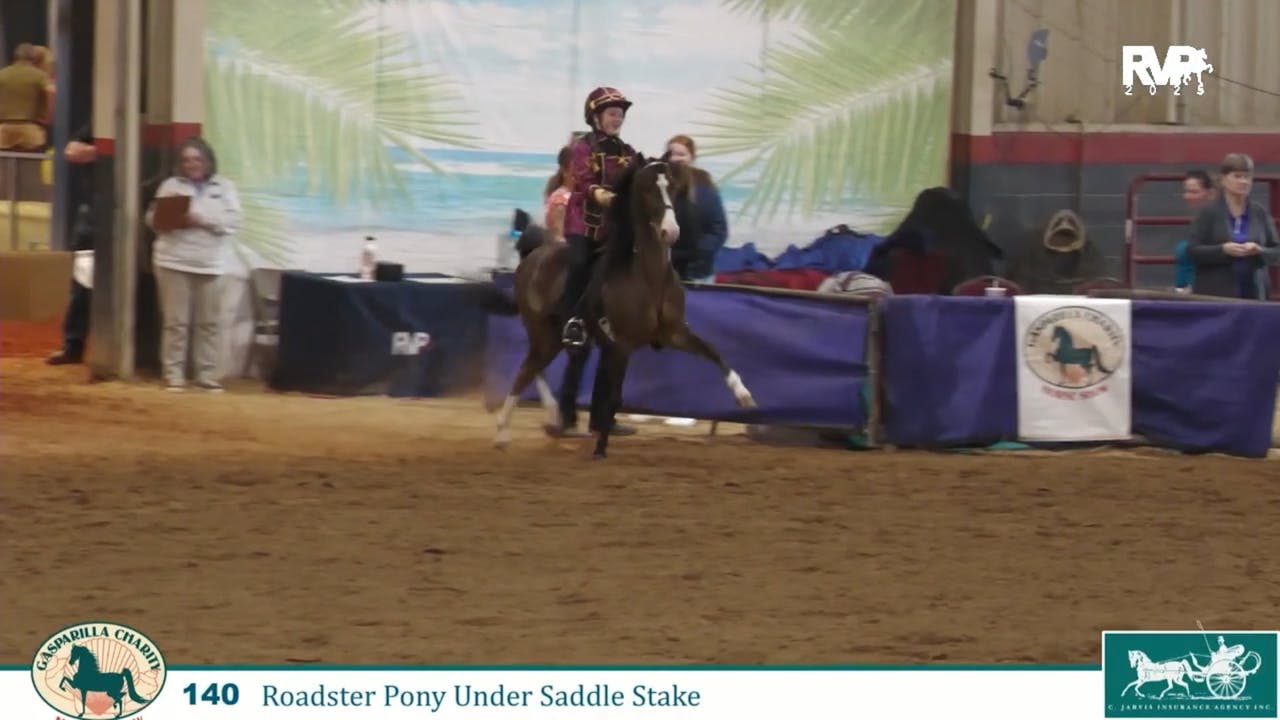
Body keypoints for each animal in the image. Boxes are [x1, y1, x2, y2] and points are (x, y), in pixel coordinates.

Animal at [484, 157, 755, 456]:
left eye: (672, 186)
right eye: (647, 189)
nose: (671, 231)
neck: (648, 277)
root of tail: (532, 256)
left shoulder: (674, 334)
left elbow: (713, 352)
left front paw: (744, 396)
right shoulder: (623, 345)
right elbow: (613, 397)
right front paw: (599, 449)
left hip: (554, 338)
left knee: (535, 369)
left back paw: (551, 418)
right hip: (543, 333)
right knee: (526, 370)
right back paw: (504, 434)